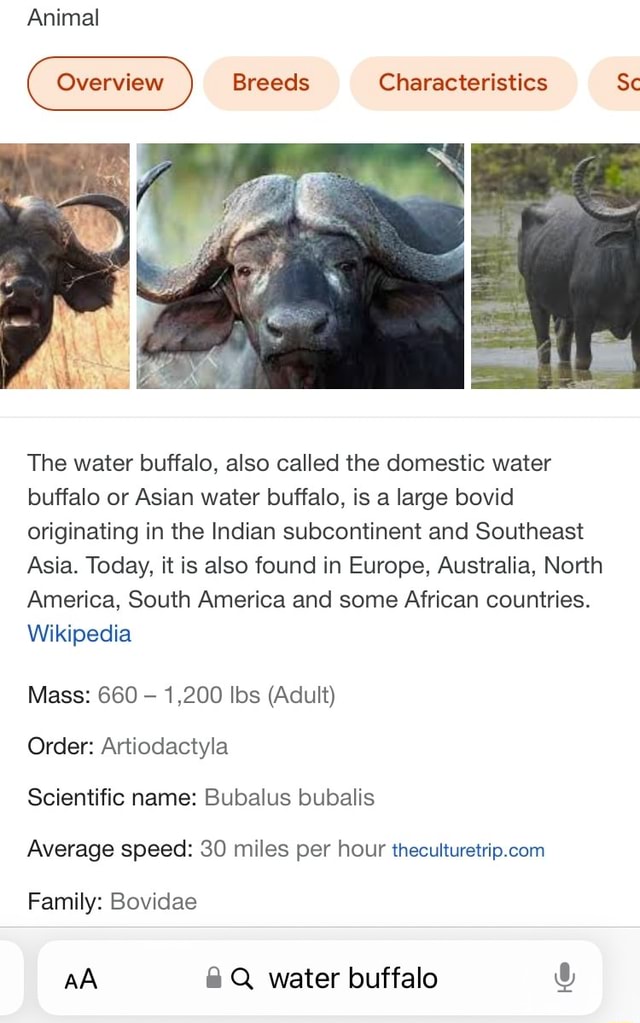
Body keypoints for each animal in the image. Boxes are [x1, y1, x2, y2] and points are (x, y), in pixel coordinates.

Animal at [518, 157, 640, 371]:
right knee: (544, 345)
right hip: (535, 301)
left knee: (562, 341)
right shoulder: (583, 317)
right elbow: (583, 361)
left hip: (565, 315)